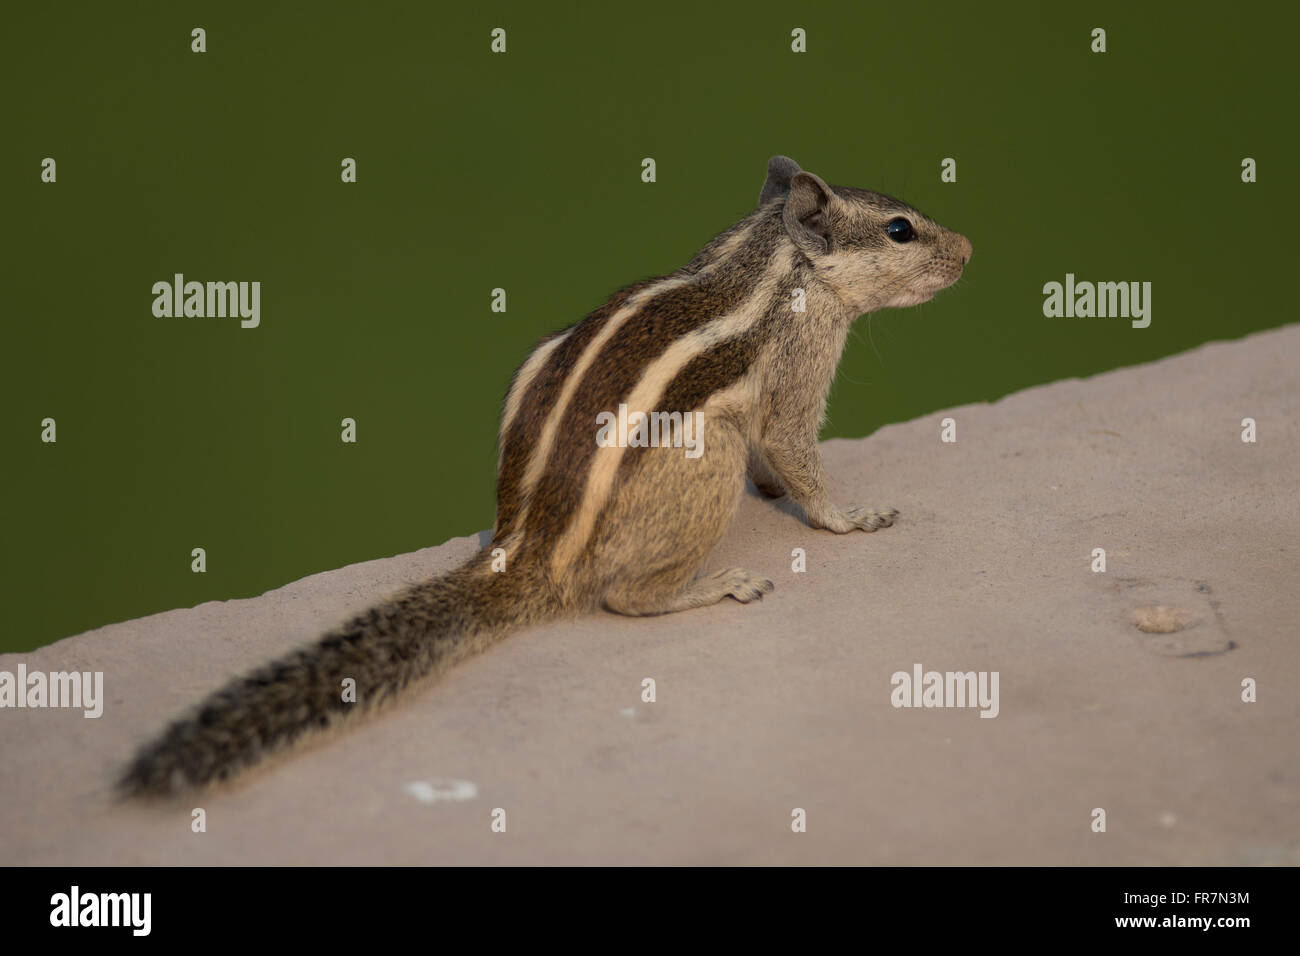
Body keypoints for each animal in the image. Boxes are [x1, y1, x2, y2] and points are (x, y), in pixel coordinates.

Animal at [118, 156, 971, 797]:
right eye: (900, 229)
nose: (968, 249)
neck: (767, 258)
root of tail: (530, 549)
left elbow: (780, 462)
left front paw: (781, 497)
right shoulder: (799, 368)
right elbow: (797, 452)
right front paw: (851, 517)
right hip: (706, 457)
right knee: (626, 598)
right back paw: (717, 584)